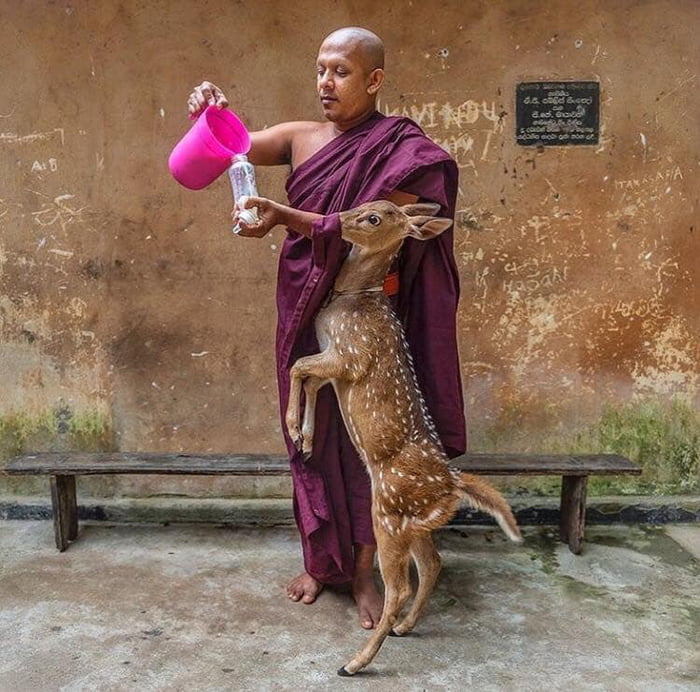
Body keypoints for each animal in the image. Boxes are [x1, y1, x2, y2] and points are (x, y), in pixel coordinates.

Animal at [285, 200, 522, 676]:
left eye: (375, 218)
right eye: (366, 204)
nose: (336, 220)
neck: (351, 300)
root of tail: (452, 485)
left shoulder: (349, 356)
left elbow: (298, 367)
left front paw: (292, 427)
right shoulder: (334, 364)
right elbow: (309, 379)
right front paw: (305, 438)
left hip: (389, 515)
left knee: (398, 588)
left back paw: (355, 662)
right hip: (415, 521)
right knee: (432, 564)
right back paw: (405, 628)